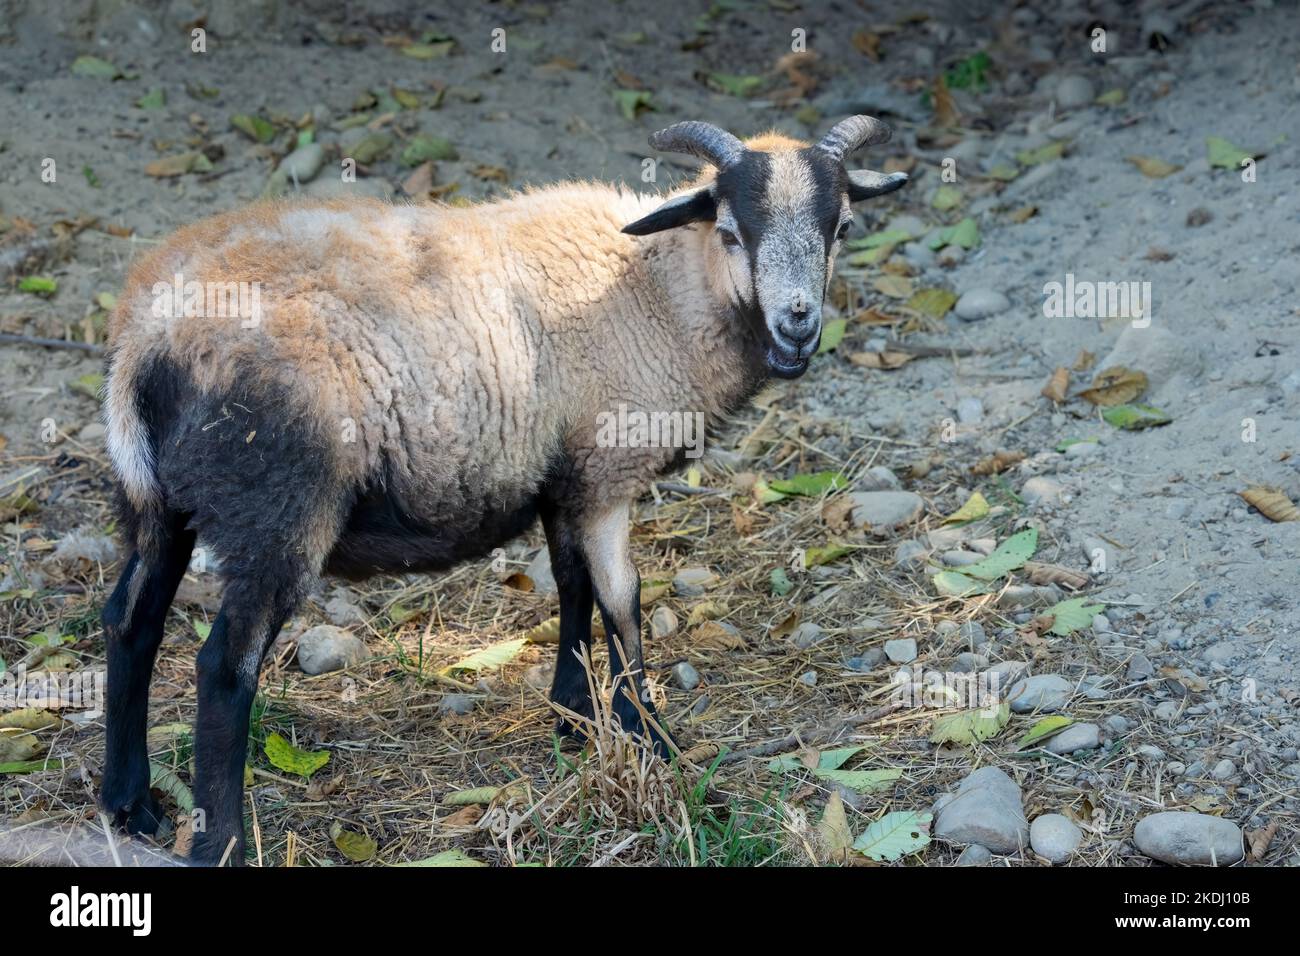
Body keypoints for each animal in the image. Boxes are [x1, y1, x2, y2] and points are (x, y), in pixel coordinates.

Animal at [98, 115, 908, 864]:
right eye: (733, 233)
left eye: (841, 227)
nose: (798, 326)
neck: (658, 290)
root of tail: (146, 338)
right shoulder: (607, 473)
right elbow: (623, 602)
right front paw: (653, 741)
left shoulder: (562, 474)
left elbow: (573, 586)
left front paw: (574, 717)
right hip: (277, 504)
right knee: (224, 668)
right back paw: (221, 840)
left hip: (158, 503)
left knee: (129, 621)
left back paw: (129, 805)